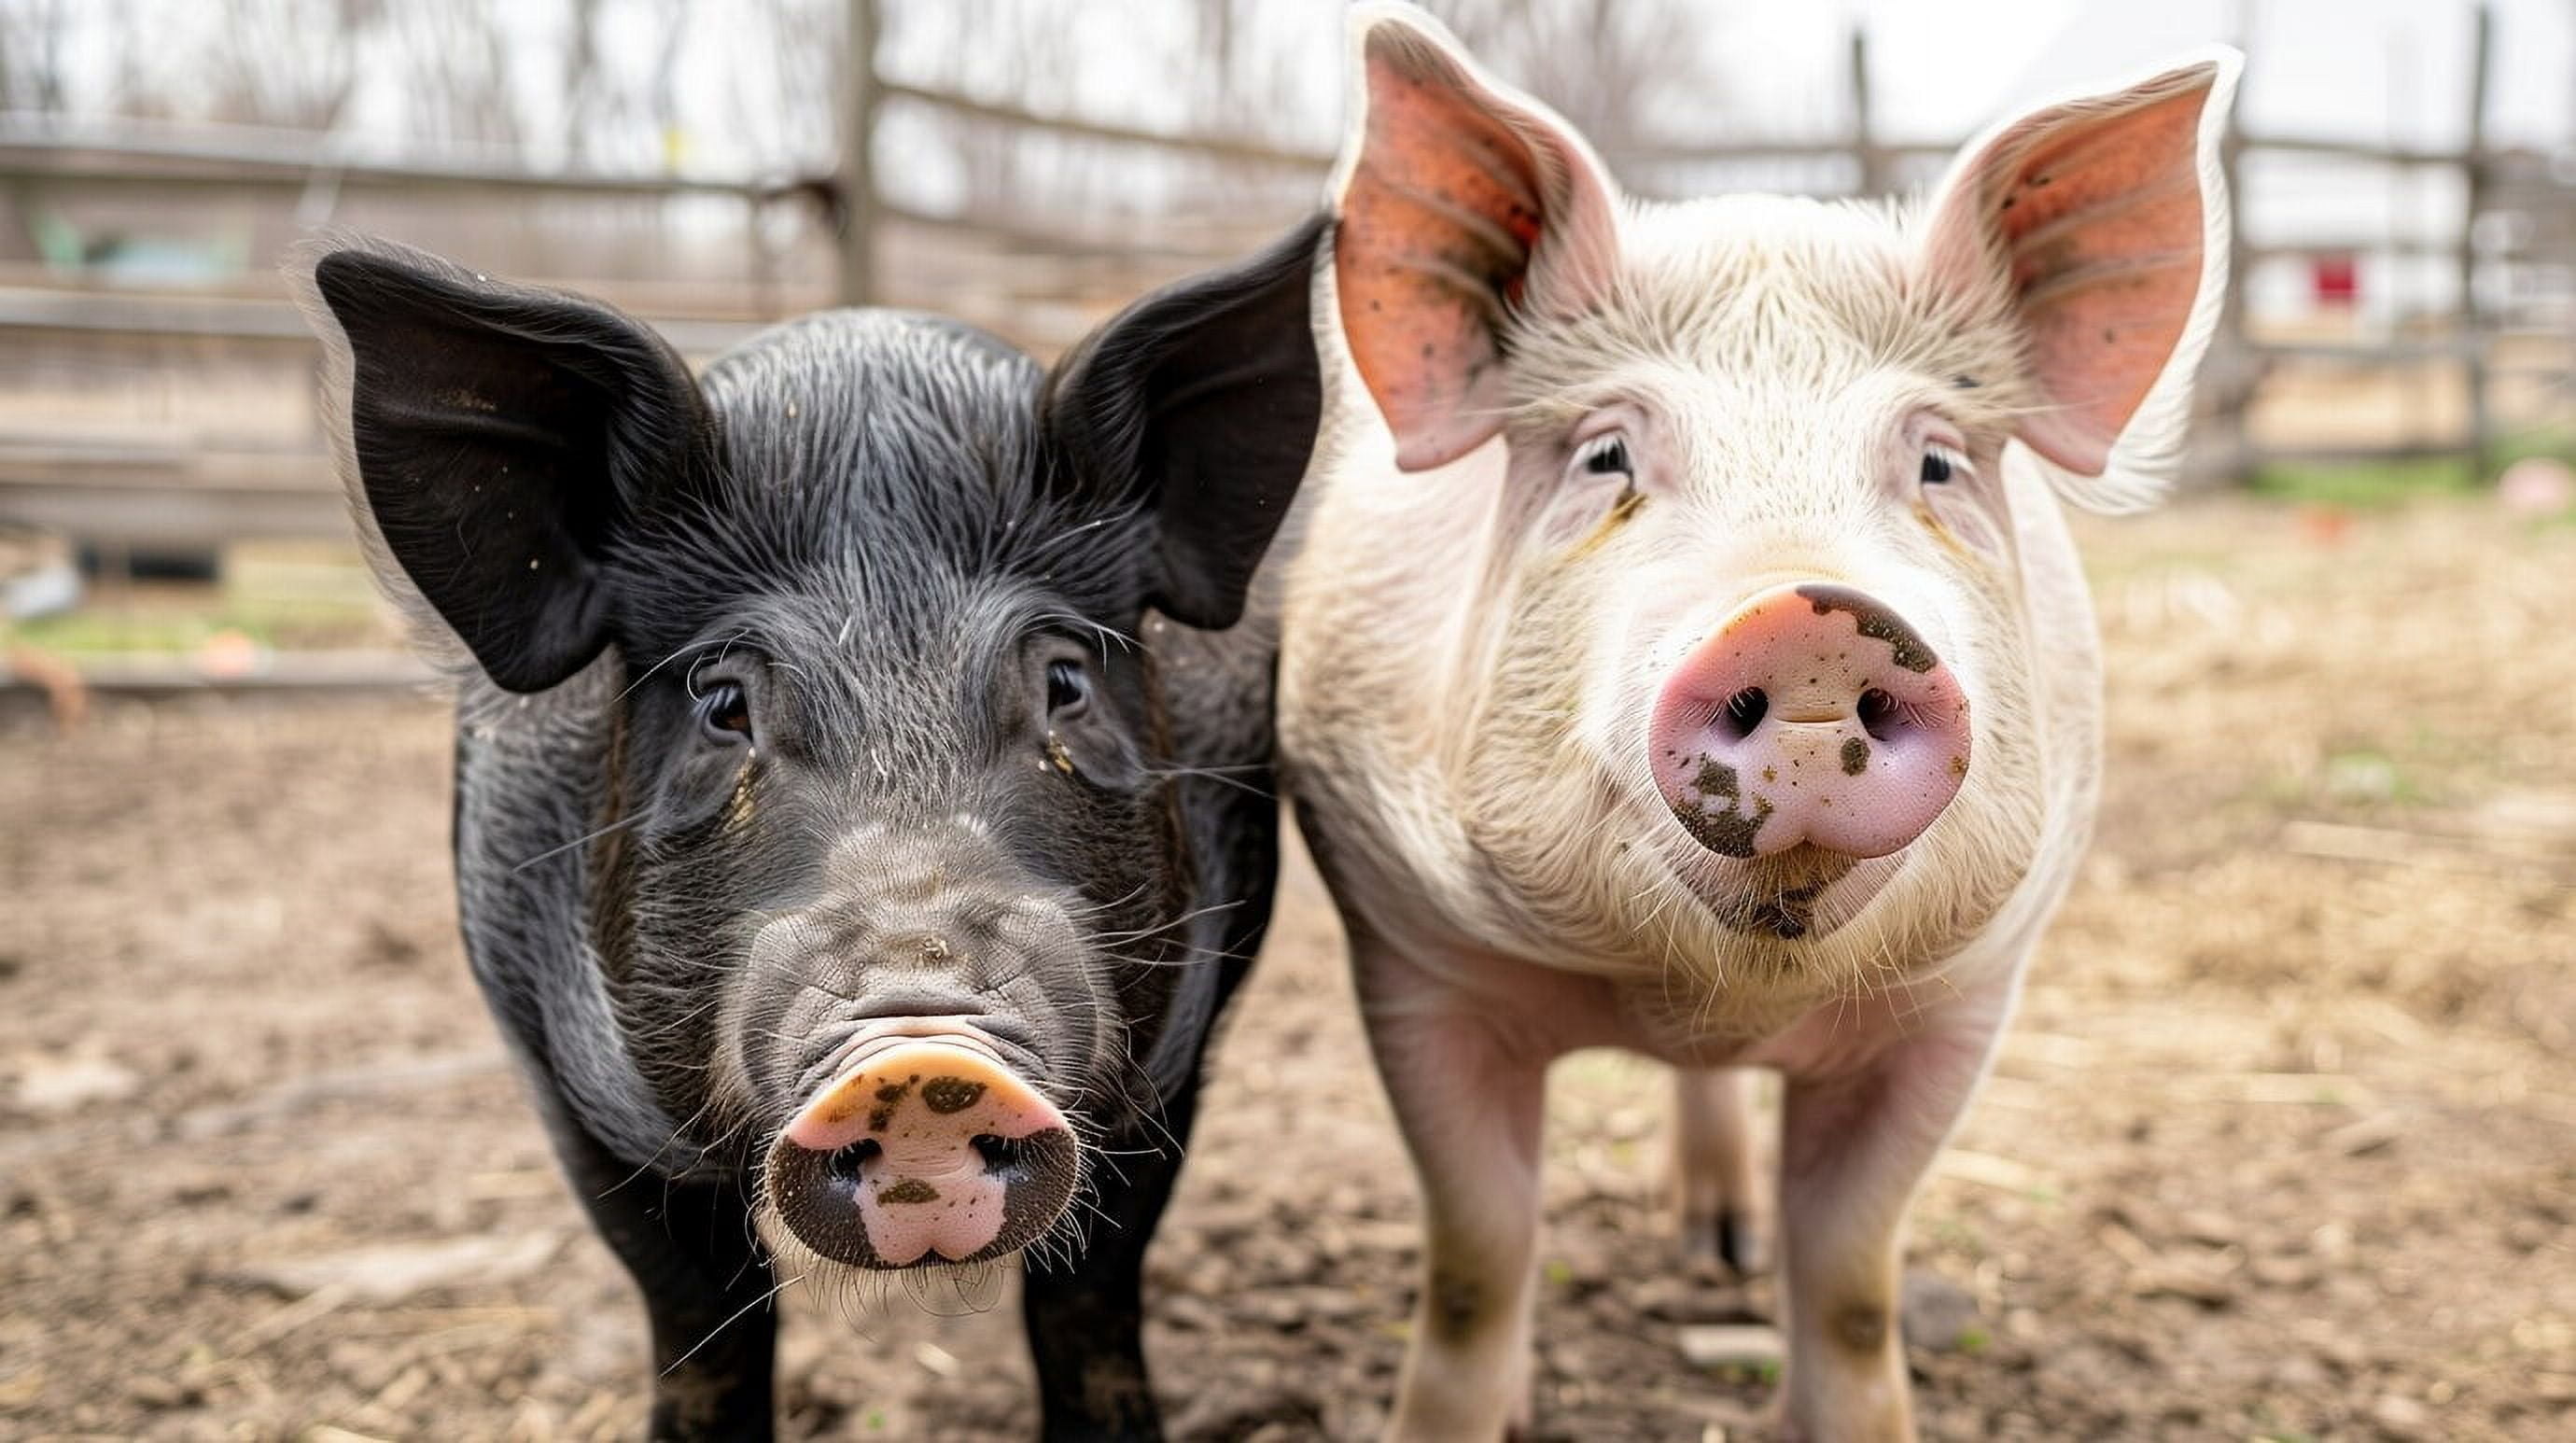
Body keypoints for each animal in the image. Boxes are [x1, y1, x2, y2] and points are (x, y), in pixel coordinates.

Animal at [294, 214, 1324, 1441]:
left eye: (1067, 683)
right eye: (723, 702)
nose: (922, 1054)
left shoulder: (1173, 1067)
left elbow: (1089, 1301)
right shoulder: (558, 1074)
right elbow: (699, 1323)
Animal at [1273, 6, 2237, 1438]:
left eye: (1938, 461)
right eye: (1608, 455)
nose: (1808, 616)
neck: (1702, 993)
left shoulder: (1962, 999)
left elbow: (1851, 1275)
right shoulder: (1412, 959)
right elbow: (1478, 1255)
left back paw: (1721, 1247)